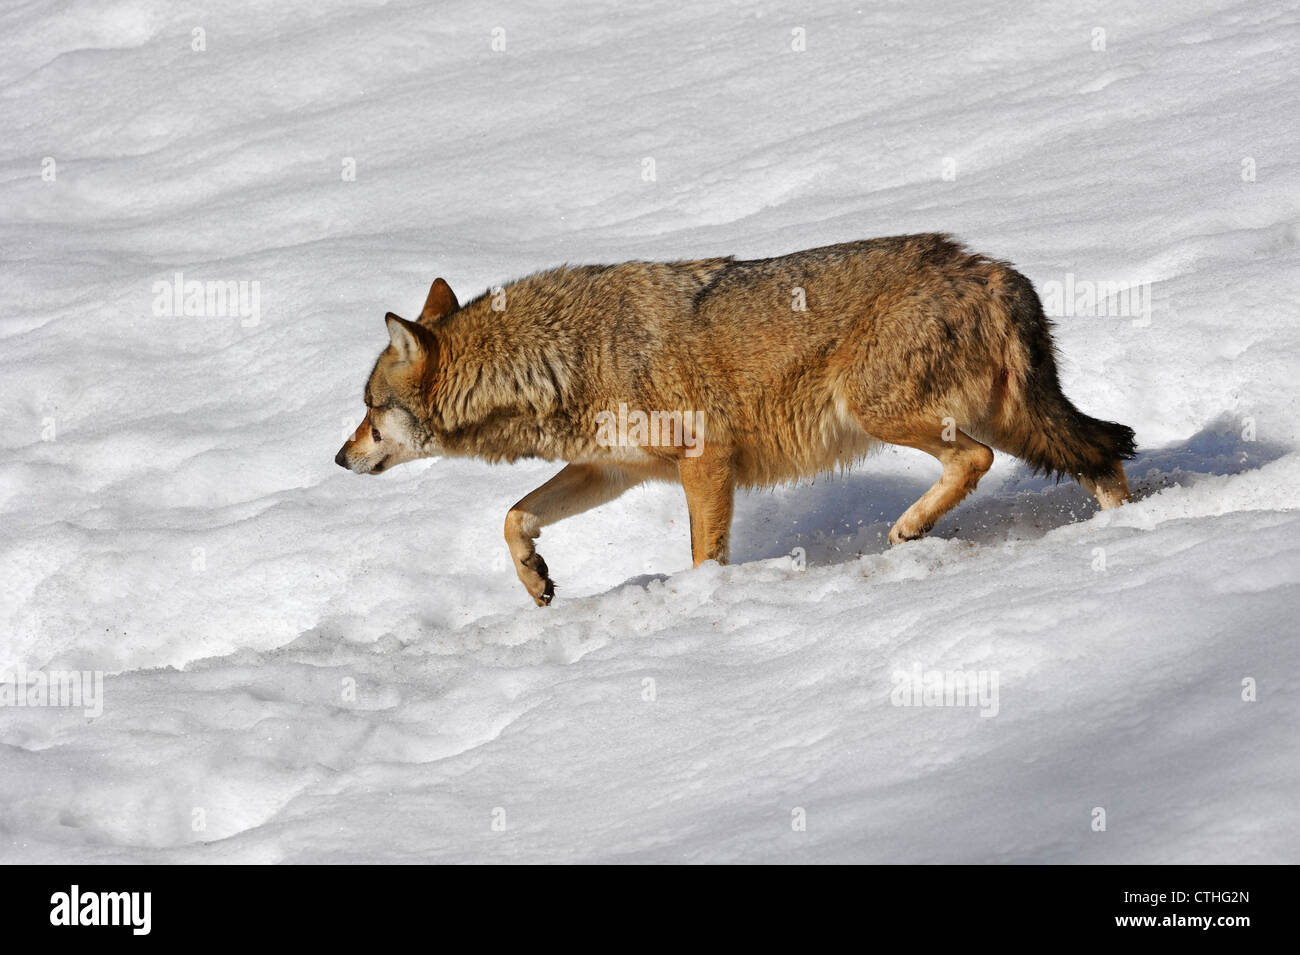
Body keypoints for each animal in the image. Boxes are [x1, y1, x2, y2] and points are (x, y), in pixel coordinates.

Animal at [336, 234, 1136, 606]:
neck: (563, 358)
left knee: (979, 461)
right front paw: (536, 583)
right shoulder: (609, 471)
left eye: (371, 410)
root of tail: (994, 270)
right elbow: (513, 516)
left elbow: (703, 557)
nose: (339, 458)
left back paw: (909, 529)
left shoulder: (706, 460)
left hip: (887, 412)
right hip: (1014, 421)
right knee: (1104, 455)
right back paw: (1121, 536)